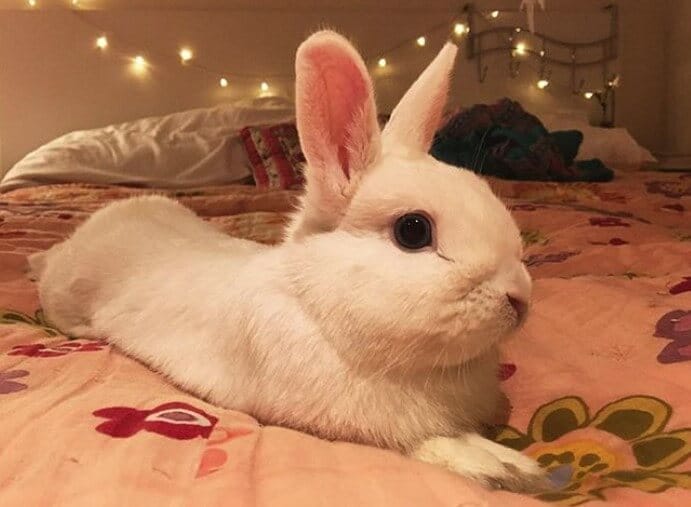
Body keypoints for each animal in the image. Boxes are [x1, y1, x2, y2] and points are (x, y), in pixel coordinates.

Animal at [31, 30, 545, 492]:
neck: (318, 306)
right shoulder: (356, 425)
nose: (520, 298)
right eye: (413, 231)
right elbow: (425, 444)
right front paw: (503, 466)